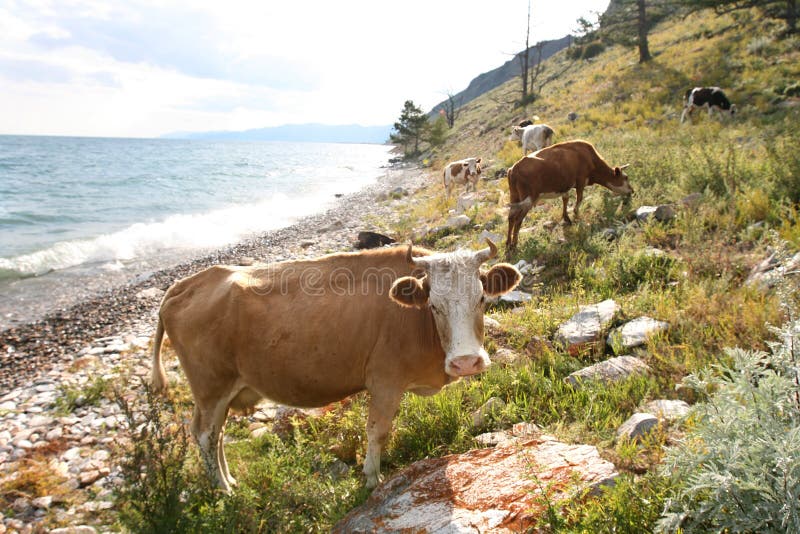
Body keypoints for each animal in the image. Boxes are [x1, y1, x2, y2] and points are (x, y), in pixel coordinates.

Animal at [151, 240, 521, 492]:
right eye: (434, 305)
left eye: (482, 299)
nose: (466, 362)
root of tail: (186, 284)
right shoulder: (385, 380)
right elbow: (377, 431)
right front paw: (372, 479)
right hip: (210, 388)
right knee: (205, 435)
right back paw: (224, 489)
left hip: (221, 392)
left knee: (215, 436)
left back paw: (230, 480)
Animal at [505, 140, 633, 252]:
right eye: (626, 177)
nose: (632, 191)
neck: (590, 159)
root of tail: (513, 169)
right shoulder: (580, 181)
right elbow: (579, 200)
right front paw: (577, 218)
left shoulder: (565, 187)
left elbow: (565, 200)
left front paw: (567, 218)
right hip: (528, 199)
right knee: (518, 220)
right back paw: (514, 245)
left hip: (514, 196)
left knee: (511, 217)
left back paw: (508, 244)